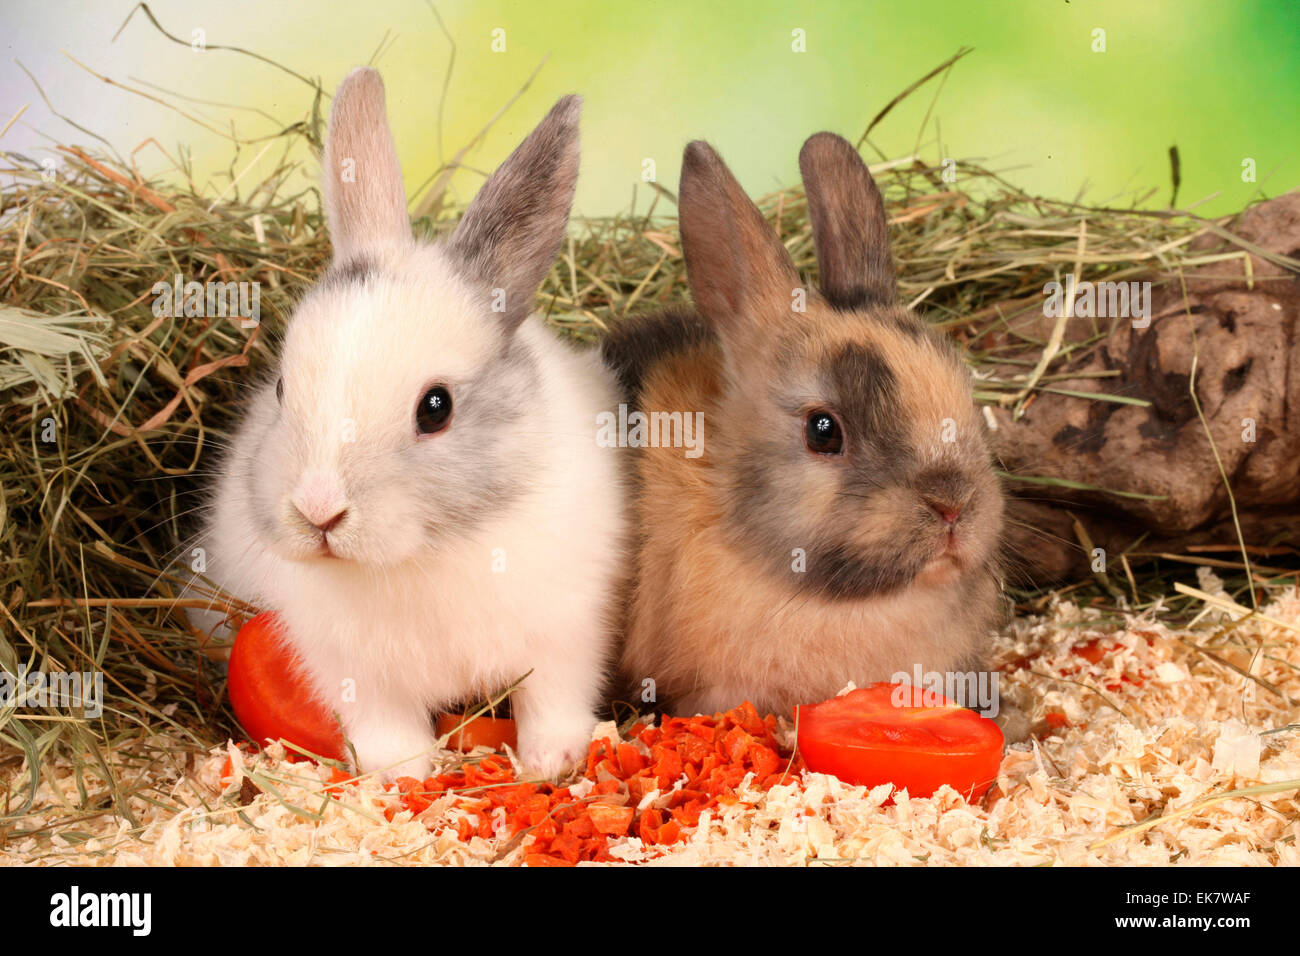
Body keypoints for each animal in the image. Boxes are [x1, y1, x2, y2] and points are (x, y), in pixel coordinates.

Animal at [188, 67, 627, 782]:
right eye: (282, 388)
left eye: (436, 407)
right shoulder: (351, 670)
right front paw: (406, 778)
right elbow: (388, 730)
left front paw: (550, 764)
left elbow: (552, 701)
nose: (318, 512)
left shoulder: (567, 633)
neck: (423, 552)